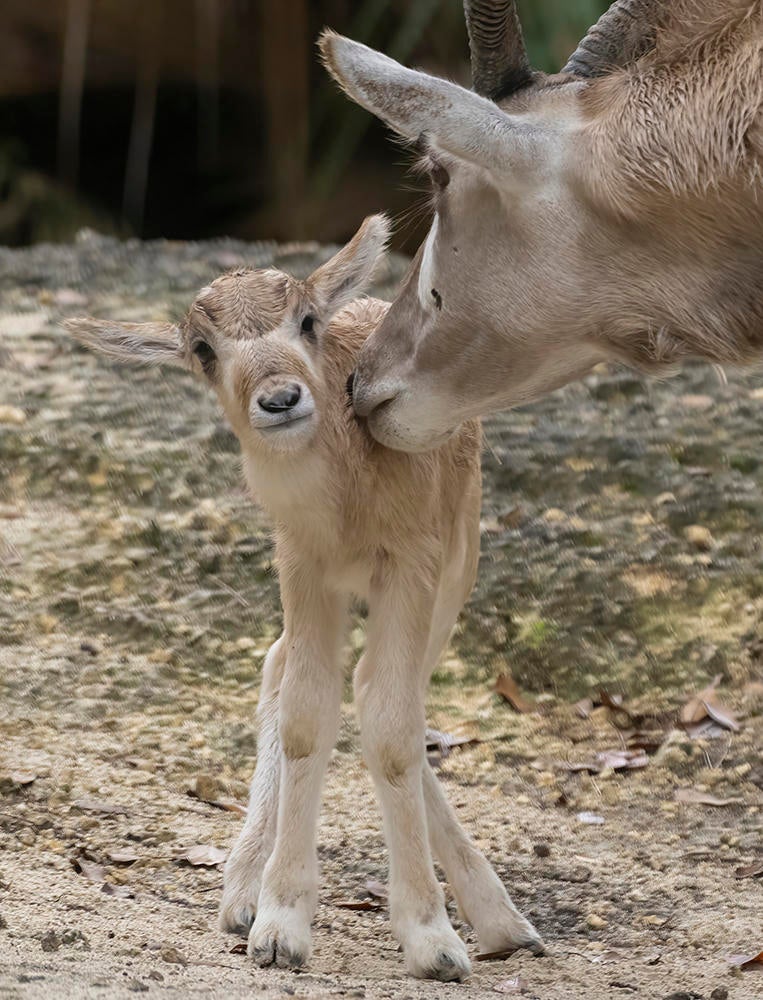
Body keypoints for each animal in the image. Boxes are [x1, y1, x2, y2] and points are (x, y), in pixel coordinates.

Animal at [65, 216, 543, 982]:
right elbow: (306, 716)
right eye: (202, 349)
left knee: (393, 692)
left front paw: (433, 940)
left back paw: (504, 922)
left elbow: (391, 727)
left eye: (306, 321)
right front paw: (279, 924)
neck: (348, 507)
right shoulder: (301, 562)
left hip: (459, 562)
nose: (281, 398)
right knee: (284, 665)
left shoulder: (413, 563)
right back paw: (242, 894)